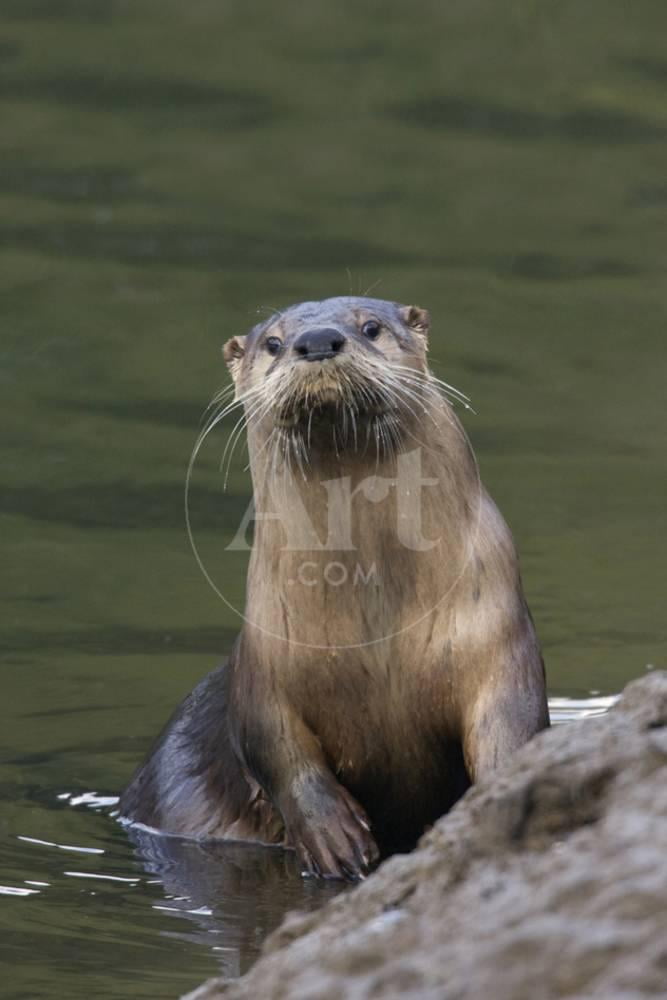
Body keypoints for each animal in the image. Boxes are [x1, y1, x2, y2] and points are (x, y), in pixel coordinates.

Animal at [120, 296, 549, 880]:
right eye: (272, 343)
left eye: (371, 327)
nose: (318, 340)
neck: (377, 637)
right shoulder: (264, 667)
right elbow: (277, 751)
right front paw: (335, 839)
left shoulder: (498, 642)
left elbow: (512, 727)